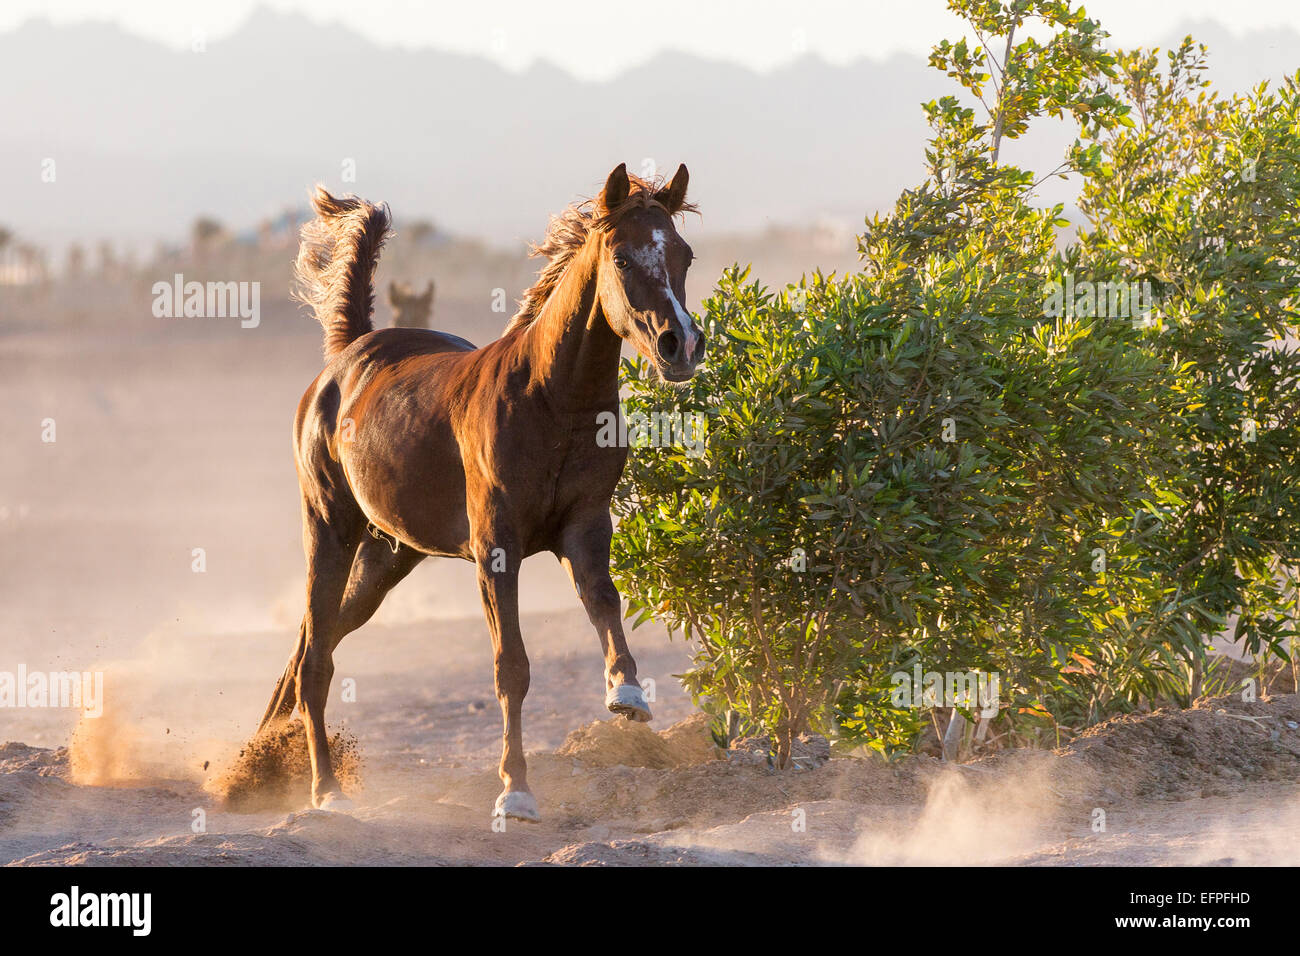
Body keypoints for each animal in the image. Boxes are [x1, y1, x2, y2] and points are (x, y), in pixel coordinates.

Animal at [255, 163, 702, 820]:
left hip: (387, 556)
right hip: (329, 527)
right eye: (621, 258)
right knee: (315, 658)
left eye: (684, 255)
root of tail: (347, 358)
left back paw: (260, 757)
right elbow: (510, 667)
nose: (683, 346)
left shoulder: (584, 526)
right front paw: (515, 793)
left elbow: (603, 600)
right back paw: (325, 790)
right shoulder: (496, 547)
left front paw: (627, 693)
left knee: (317, 639)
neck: (549, 399)